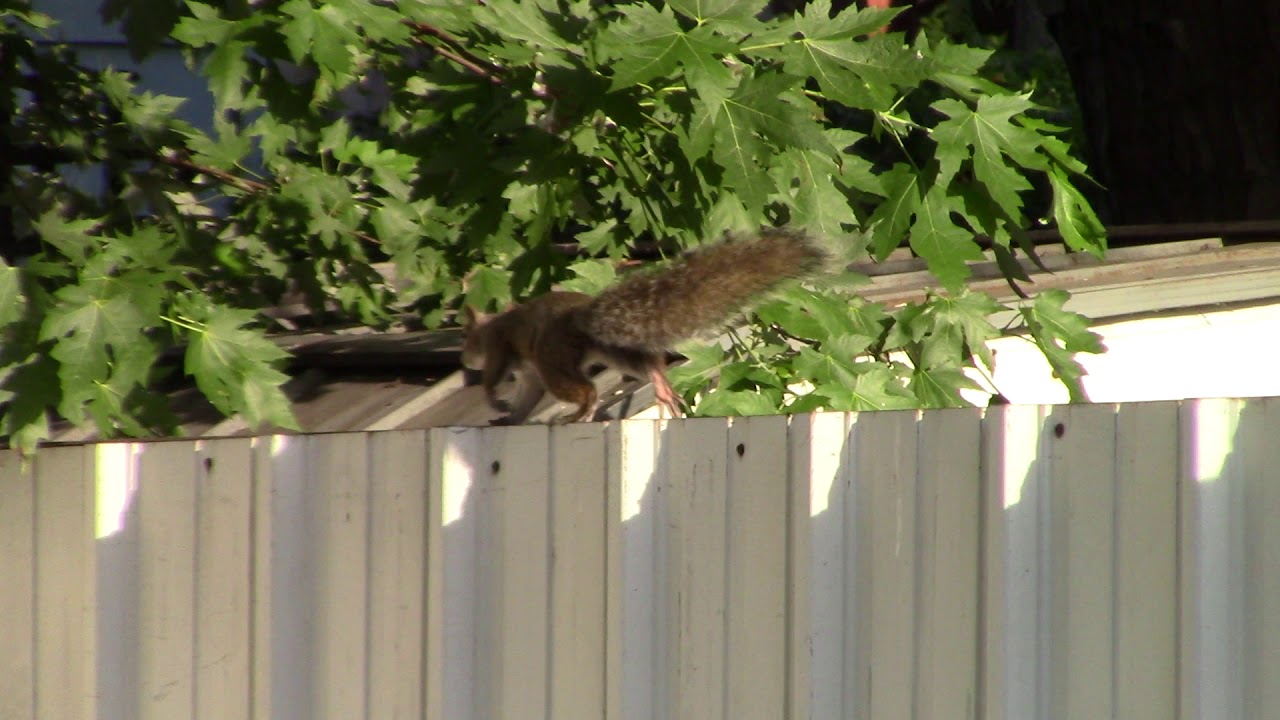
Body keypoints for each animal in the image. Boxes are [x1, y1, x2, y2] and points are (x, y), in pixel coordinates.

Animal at [461, 227, 831, 425]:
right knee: (646, 366)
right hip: (614, 349)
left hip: (553, 357)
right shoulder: (529, 376)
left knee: (585, 390)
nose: (465, 359)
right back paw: (663, 389)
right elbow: (526, 398)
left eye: (468, 337)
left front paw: (495, 402)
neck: (491, 325)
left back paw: (577, 412)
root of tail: (583, 316)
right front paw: (509, 417)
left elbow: (495, 377)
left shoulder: (499, 346)